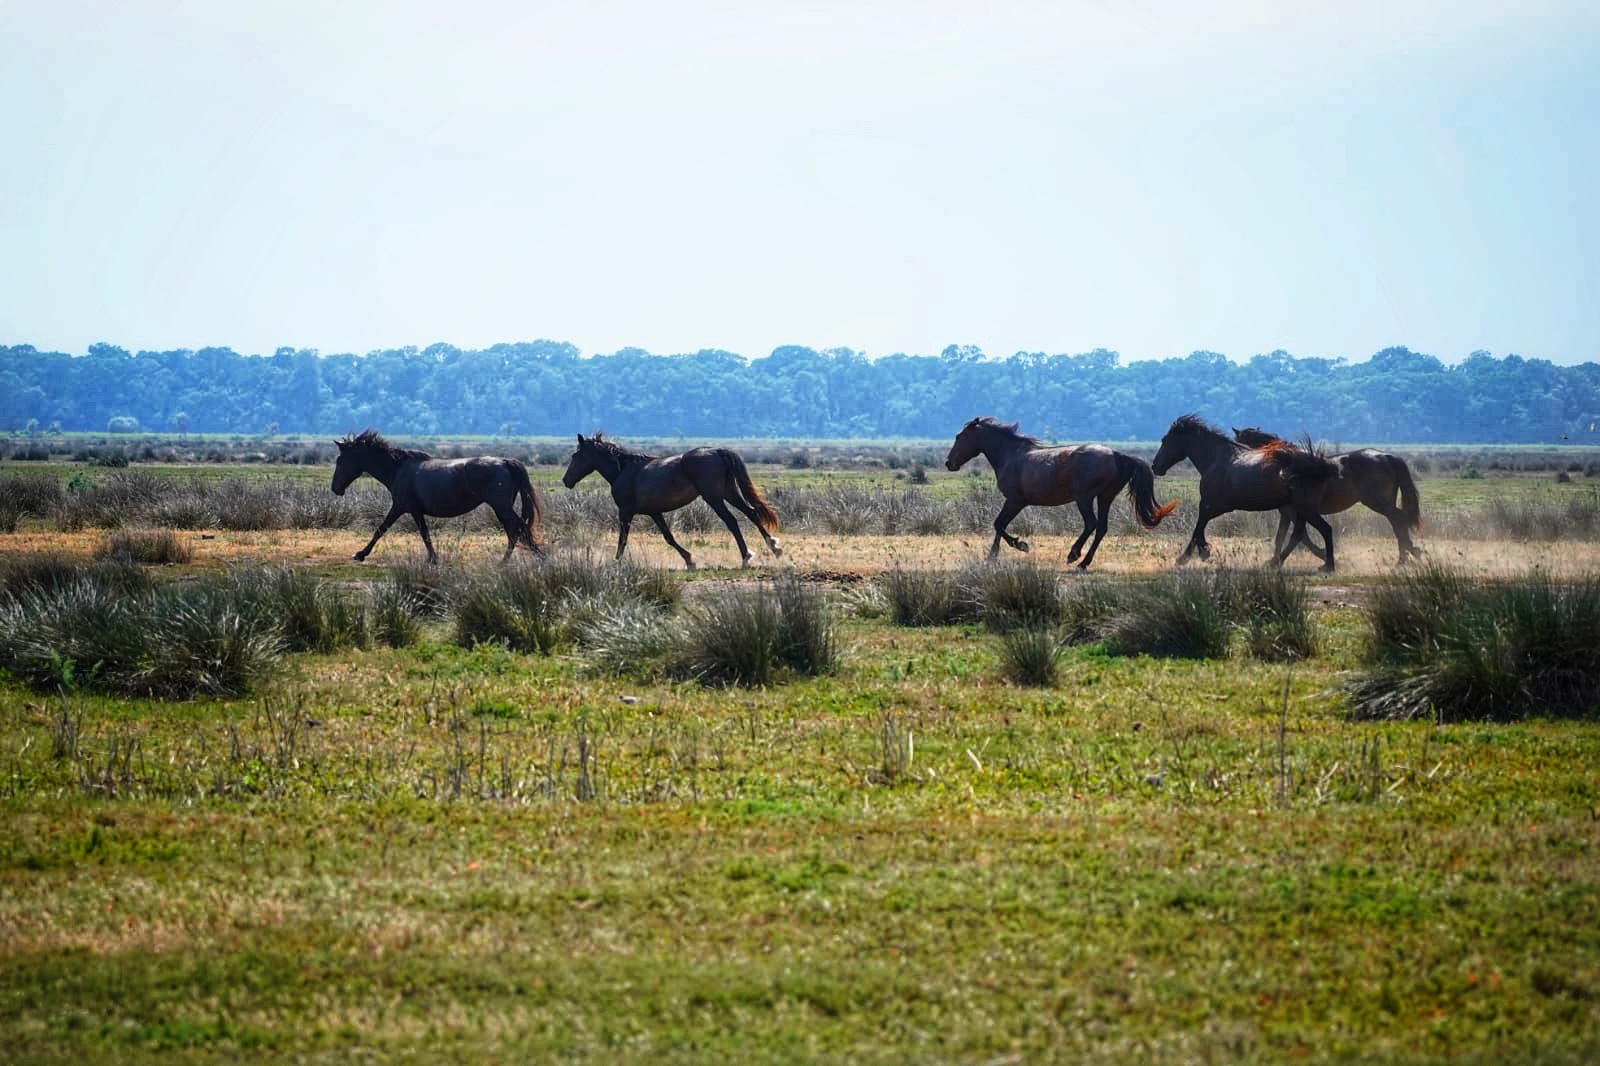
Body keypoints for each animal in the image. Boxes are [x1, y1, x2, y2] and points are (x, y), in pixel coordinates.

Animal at [330, 429, 545, 563]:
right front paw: (361, 554)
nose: (335, 489)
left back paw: (539, 557)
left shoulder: (406, 508)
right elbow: (384, 529)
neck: (397, 469)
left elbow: (411, 532)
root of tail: (506, 461)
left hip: (501, 506)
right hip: (502, 508)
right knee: (514, 532)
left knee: (518, 529)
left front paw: (360, 554)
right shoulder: (404, 508)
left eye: (340, 460)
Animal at [561, 433, 782, 570]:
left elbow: (622, 539)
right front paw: (689, 560)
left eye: (575, 455)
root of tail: (718, 450)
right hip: (729, 493)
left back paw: (746, 557)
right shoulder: (655, 513)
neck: (623, 470)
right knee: (751, 512)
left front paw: (616, 563)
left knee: (732, 521)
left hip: (714, 497)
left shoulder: (625, 512)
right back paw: (774, 547)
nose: (566, 481)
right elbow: (669, 537)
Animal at [944, 417, 1178, 569]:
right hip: (1105, 497)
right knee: (1101, 528)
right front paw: (992, 557)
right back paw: (1083, 563)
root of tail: (1116, 454)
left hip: (1084, 498)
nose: (949, 463)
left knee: (1091, 524)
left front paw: (1021, 545)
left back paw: (1073, 555)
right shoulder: (1015, 502)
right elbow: (999, 526)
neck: (1010, 455)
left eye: (959, 436)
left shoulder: (1015, 500)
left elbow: (999, 524)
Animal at [1150, 414, 1340, 571]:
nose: (1155, 466)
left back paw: (1327, 566)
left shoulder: (1214, 505)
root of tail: (1316, 465)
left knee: (1323, 529)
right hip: (1300, 509)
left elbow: (1199, 525)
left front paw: (1189, 556)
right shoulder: (1214, 506)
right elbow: (1200, 525)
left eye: (1165, 440)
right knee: (1300, 533)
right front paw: (1203, 552)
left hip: (1305, 508)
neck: (1216, 460)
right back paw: (1281, 562)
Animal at [1233, 426, 1423, 565]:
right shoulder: (1288, 513)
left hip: (1378, 502)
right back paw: (1407, 554)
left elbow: (1300, 536)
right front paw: (1274, 560)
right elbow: (1281, 537)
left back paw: (1406, 556)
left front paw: (1322, 555)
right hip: (1386, 503)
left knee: (1399, 519)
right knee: (1398, 521)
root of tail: (1387, 456)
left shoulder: (1295, 511)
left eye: (1239, 443)